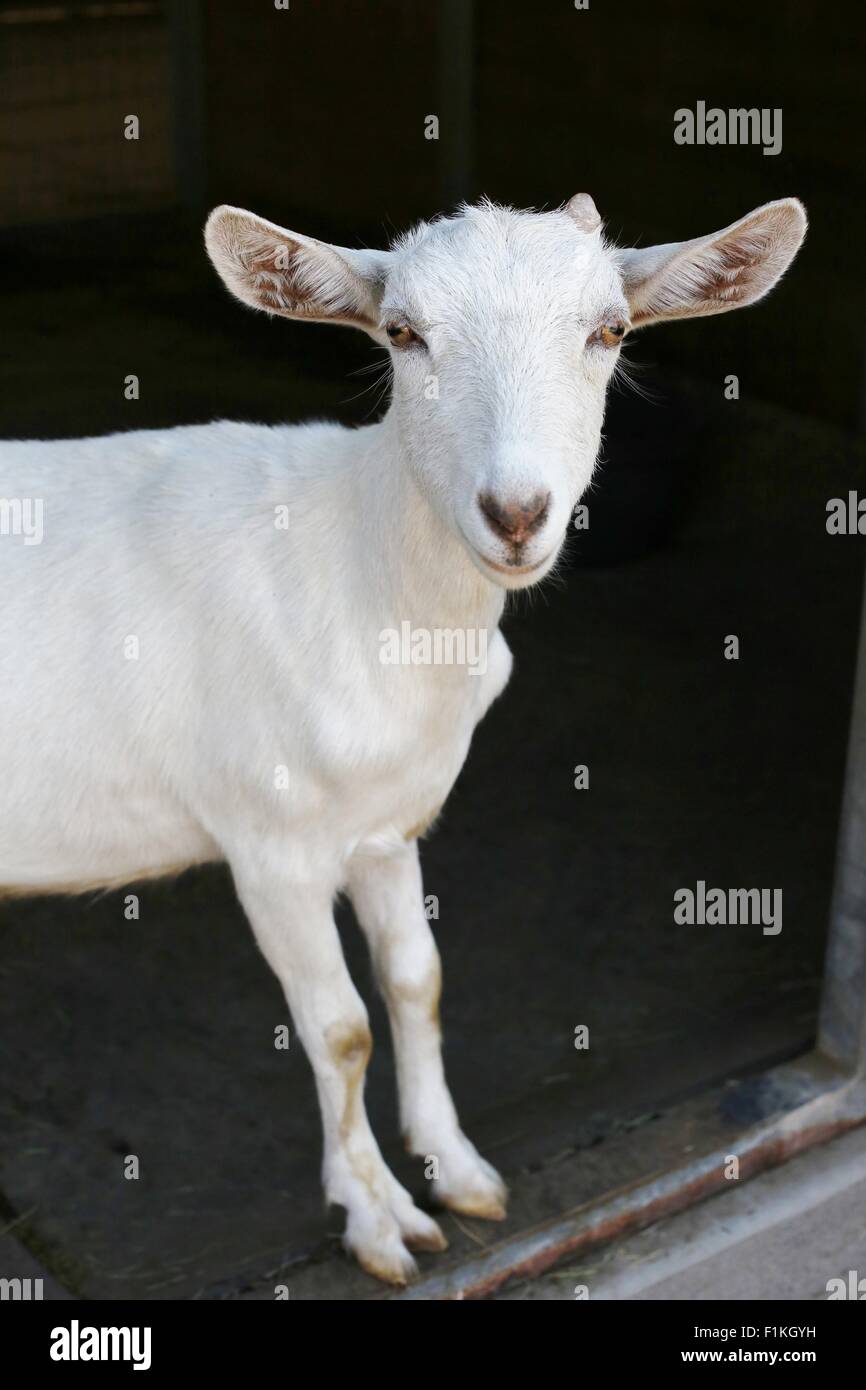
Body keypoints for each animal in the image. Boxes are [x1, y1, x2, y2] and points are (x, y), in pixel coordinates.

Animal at [0, 193, 806, 1284]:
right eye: (401, 333)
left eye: (609, 331)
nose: (516, 512)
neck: (361, 574)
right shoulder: (271, 842)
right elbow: (339, 1029)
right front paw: (379, 1219)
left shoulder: (389, 821)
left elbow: (416, 981)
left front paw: (456, 1169)